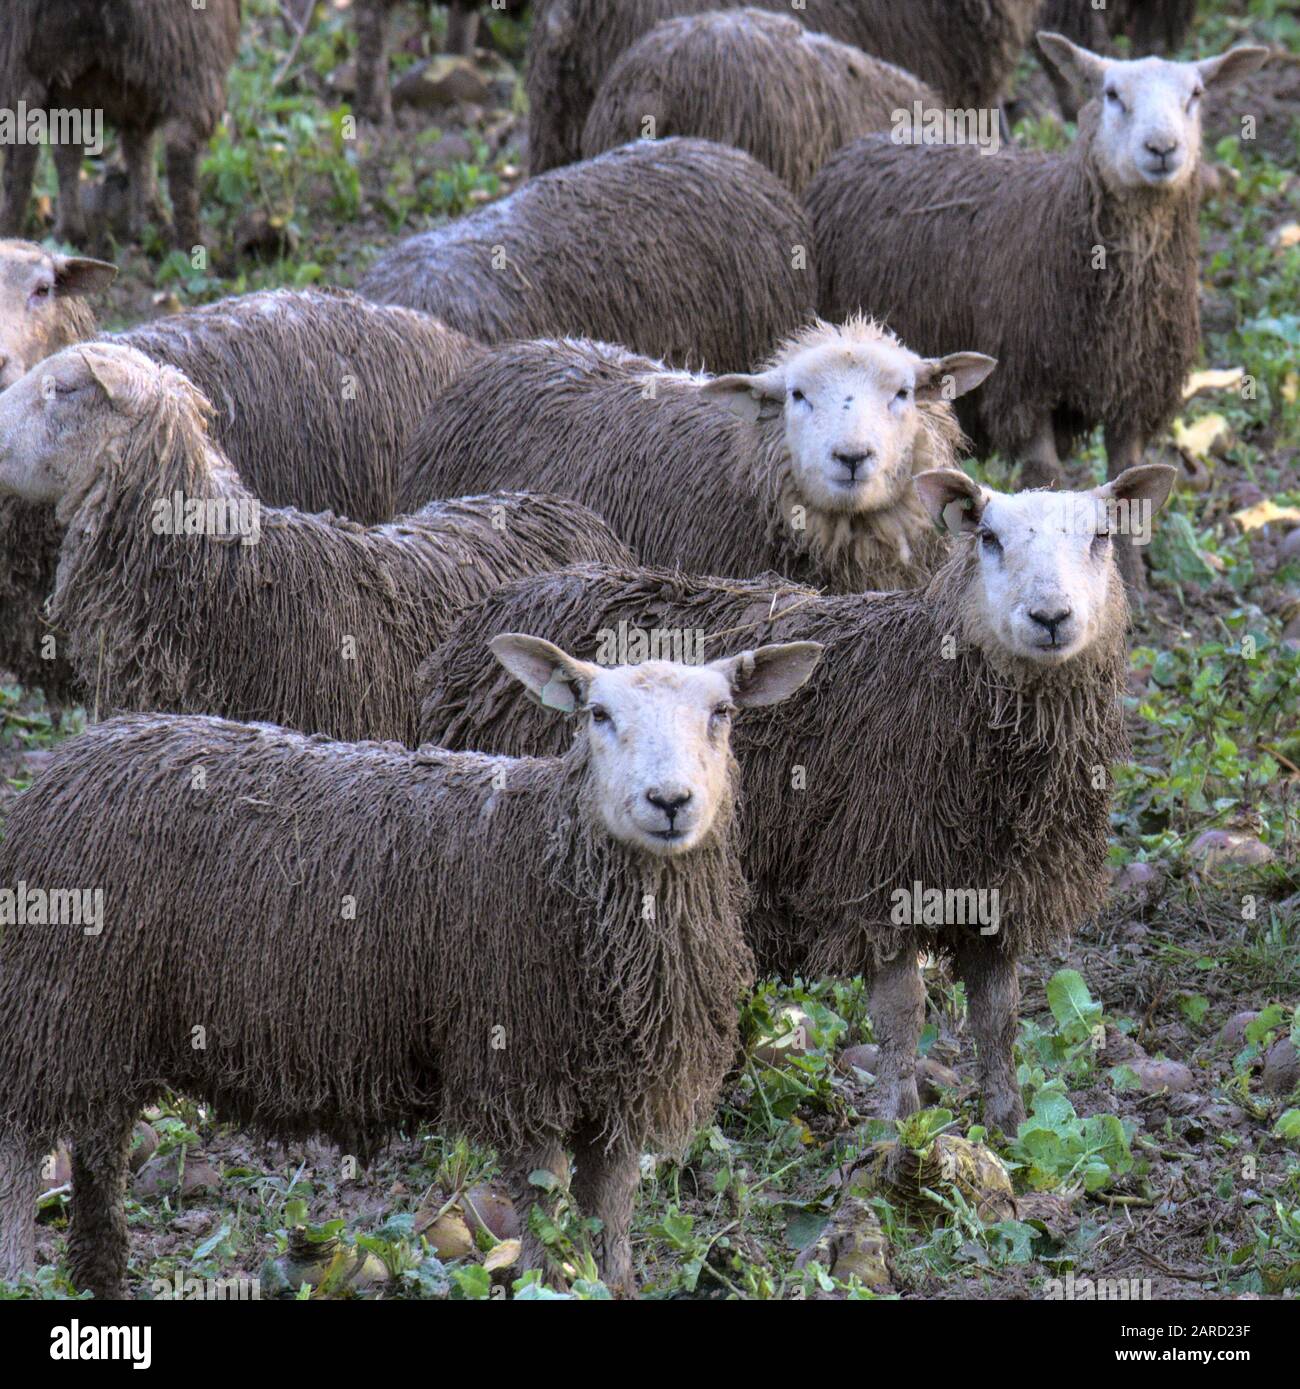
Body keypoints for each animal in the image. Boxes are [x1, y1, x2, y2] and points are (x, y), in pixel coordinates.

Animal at [0, 0, 242, 249]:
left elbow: (89, 150)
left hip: (16, 56)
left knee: (19, 155)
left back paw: (14, 233)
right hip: (188, 52)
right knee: (181, 148)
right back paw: (191, 242)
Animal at [0, 636, 822, 1297]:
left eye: (722, 711)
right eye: (597, 714)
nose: (669, 800)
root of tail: (69, 760)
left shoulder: (623, 1091)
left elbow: (608, 1224)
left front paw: (609, 1282)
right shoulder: (518, 1068)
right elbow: (544, 1215)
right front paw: (548, 1282)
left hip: (109, 1021)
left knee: (101, 1144)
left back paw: (99, 1275)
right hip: (56, 1001)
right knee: (20, 1148)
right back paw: (20, 1274)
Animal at [415, 464, 1177, 1132]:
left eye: (1101, 536)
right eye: (988, 538)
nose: (1050, 616)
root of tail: (505, 598)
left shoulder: (998, 892)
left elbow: (1000, 1015)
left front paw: (1008, 1125)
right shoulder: (879, 876)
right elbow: (901, 1014)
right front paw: (896, 1128)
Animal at [804, 35, 1268, 584]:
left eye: (1195, 95)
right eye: (1111, 94)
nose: (1162, 149)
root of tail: (872, 139)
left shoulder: (1135, 390)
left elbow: (1128, 487)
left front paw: (1130, 581)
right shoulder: (1024, 386)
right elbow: (1044, 477)